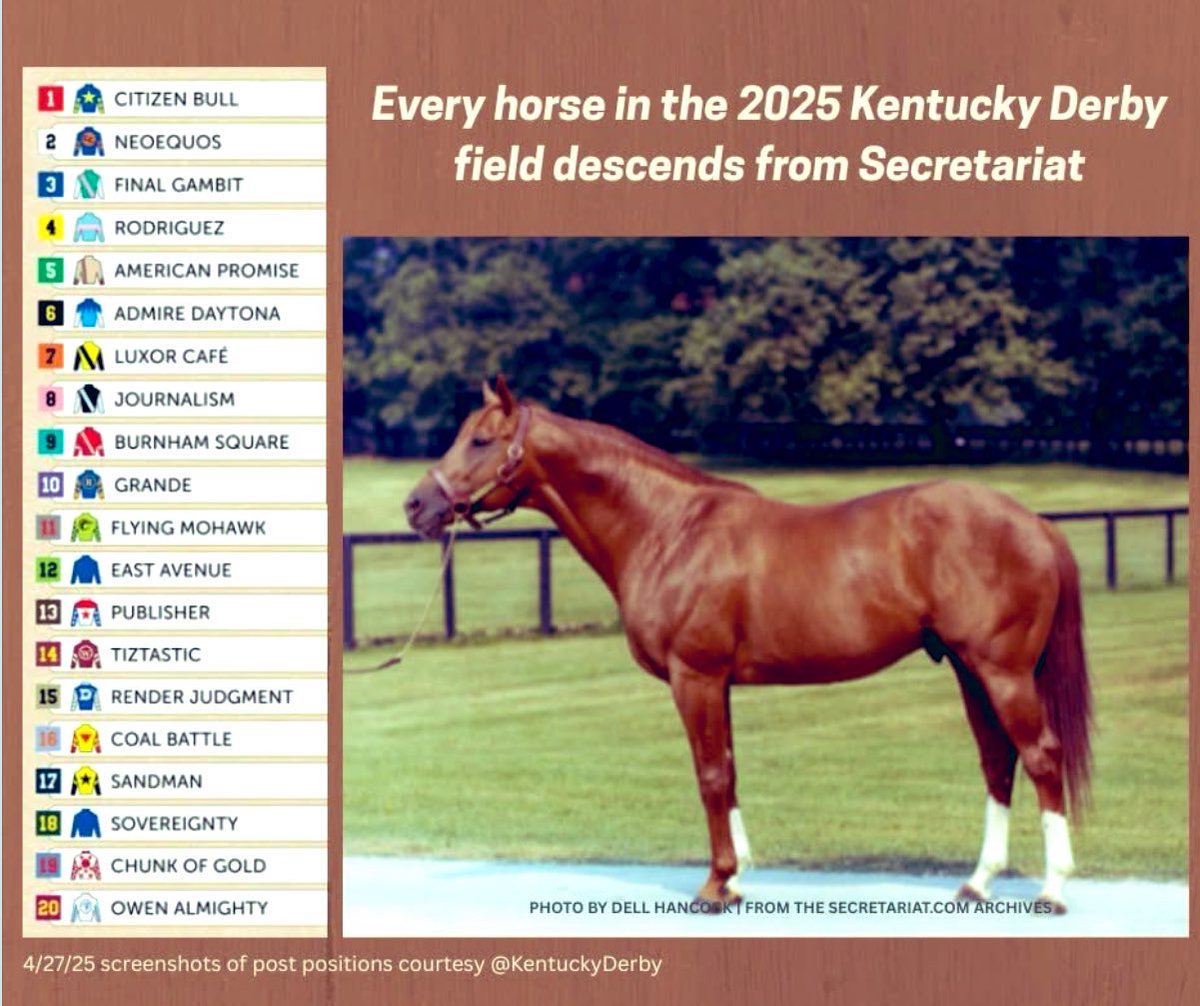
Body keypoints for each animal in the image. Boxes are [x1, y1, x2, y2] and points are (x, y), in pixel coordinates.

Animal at [403, 377, 1094, 913]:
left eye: (481, 440)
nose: (416, 505)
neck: (667, 527)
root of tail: (1035, 523)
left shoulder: (696, 676)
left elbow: (710, 774)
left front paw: (714, 887)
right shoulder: (718, 683)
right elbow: (728, 769)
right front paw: (735, 880)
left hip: (1002, 672)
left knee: (1040, 756)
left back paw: (1053, 890)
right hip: (968, 669)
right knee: (997, 760)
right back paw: (978, 884)